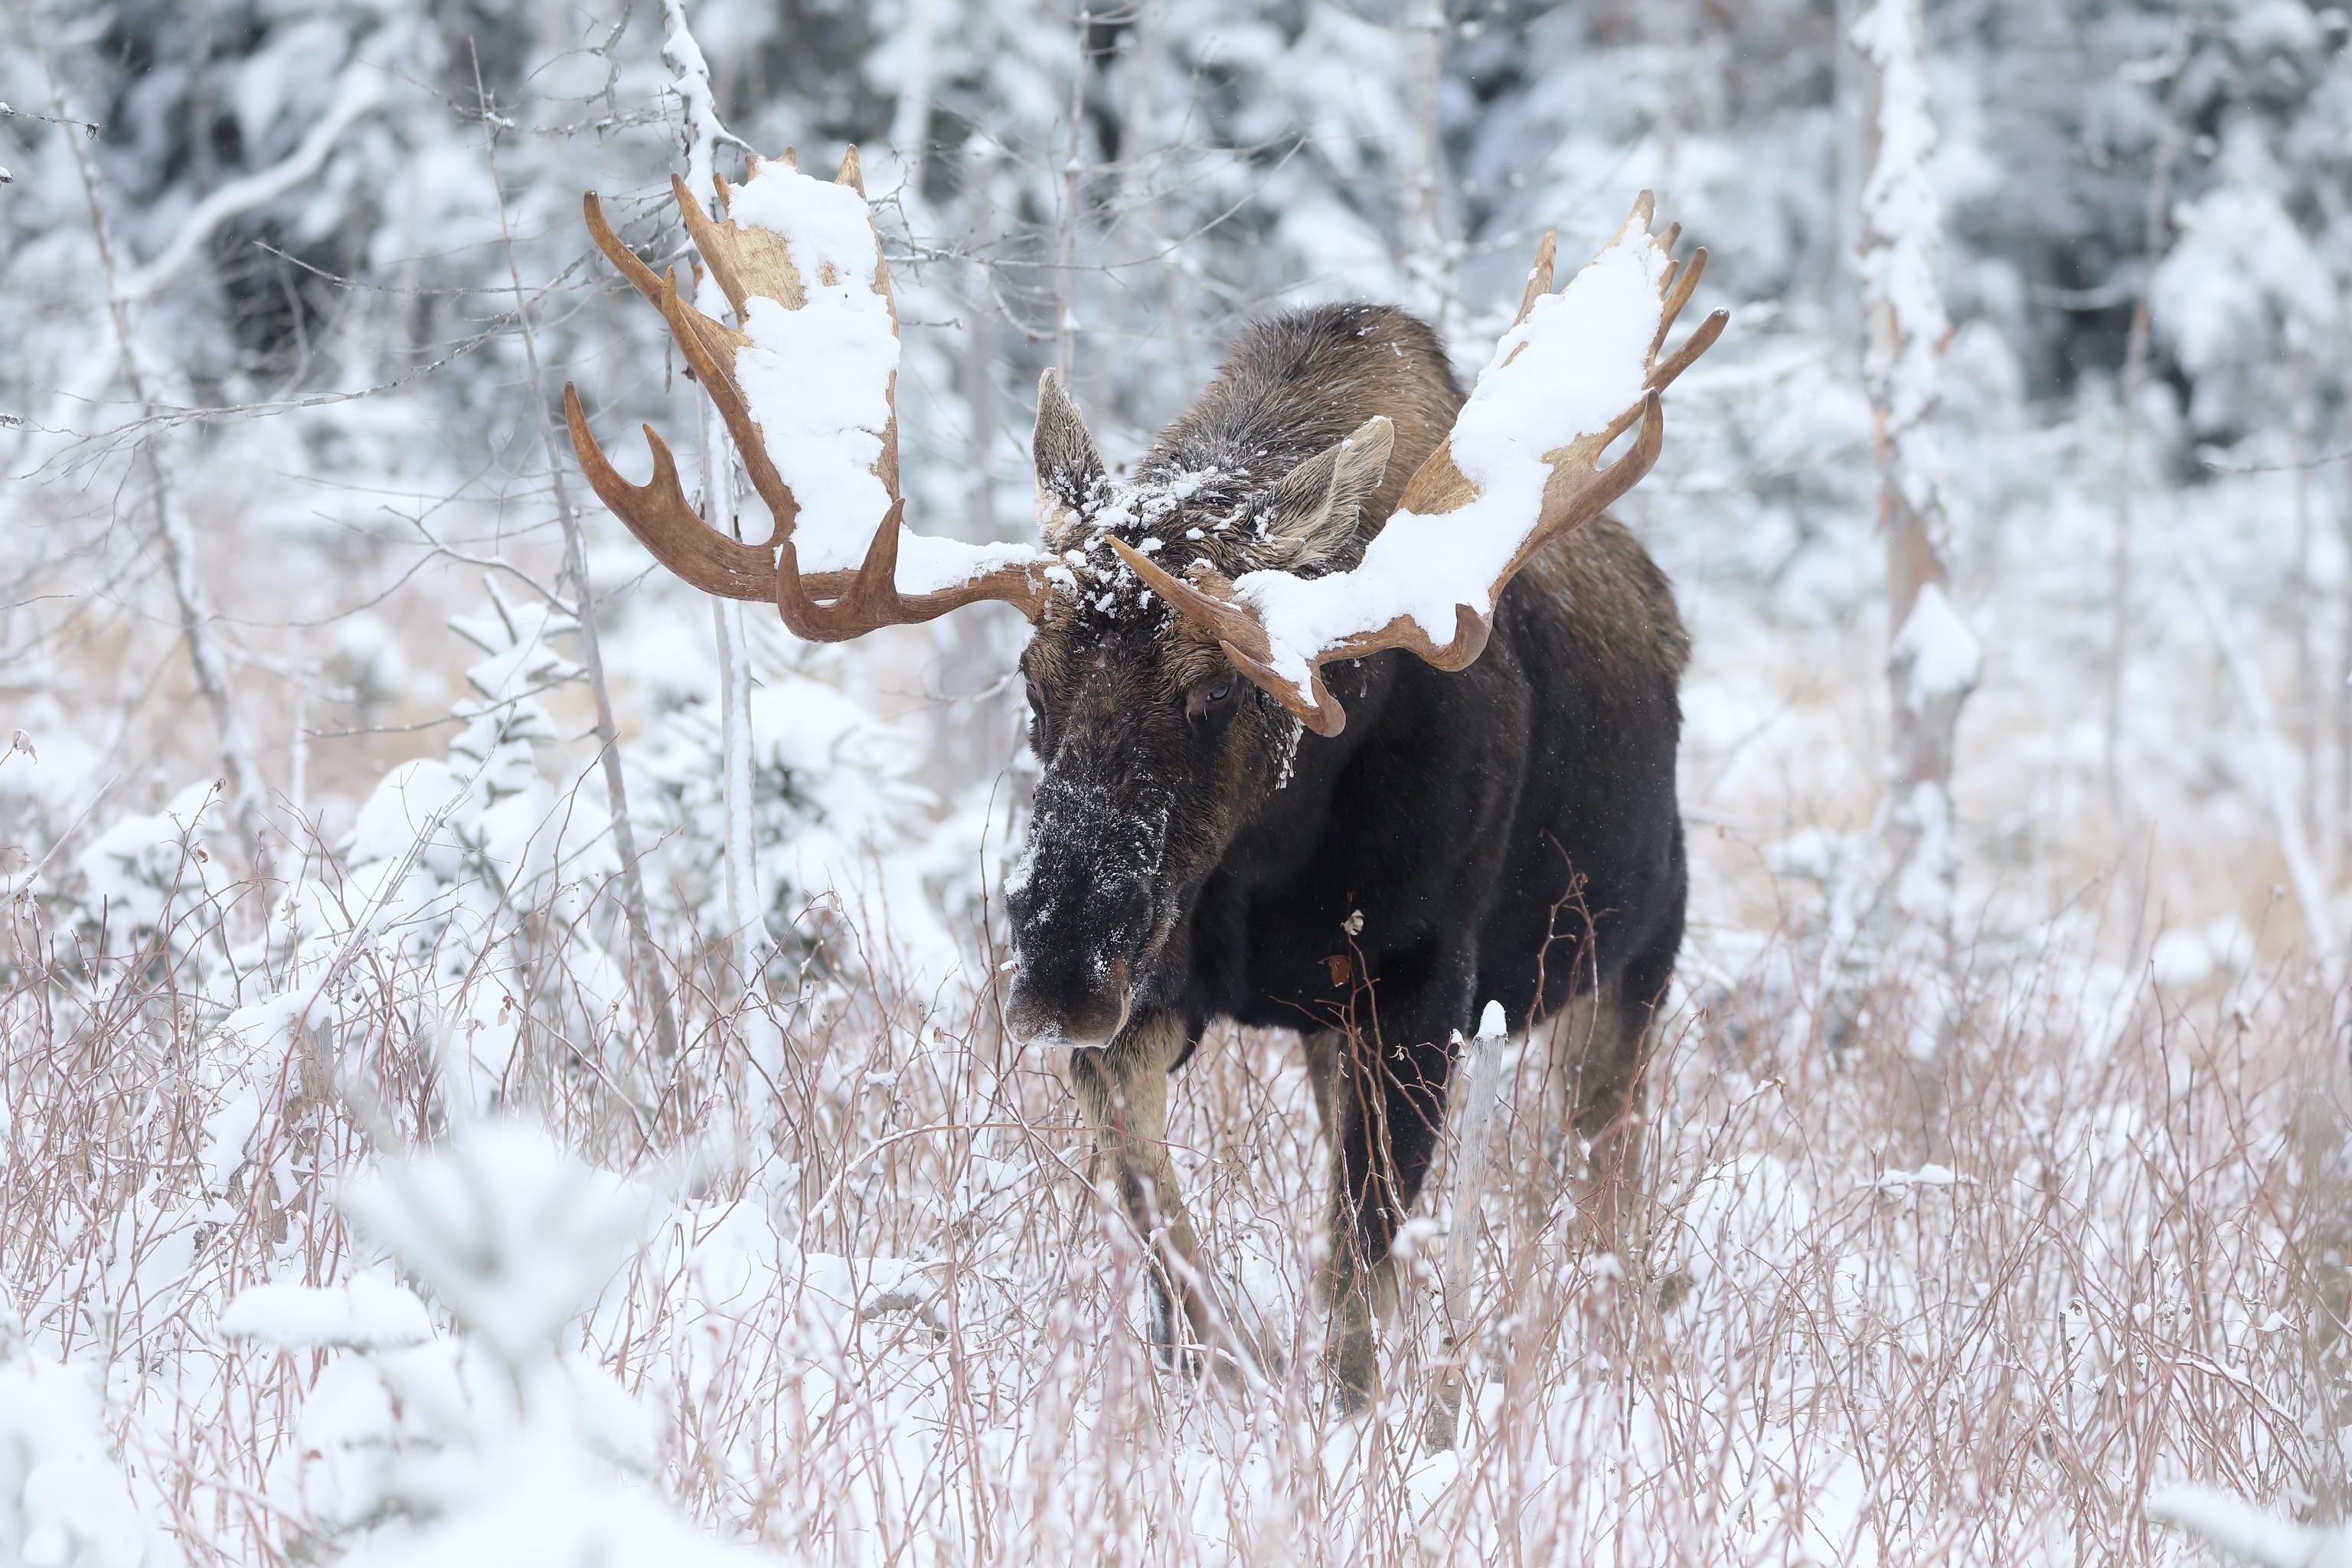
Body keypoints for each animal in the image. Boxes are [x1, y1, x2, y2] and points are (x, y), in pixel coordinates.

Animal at [564, 146, 1724, 1403]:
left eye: (1219, 693)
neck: (1278, 862)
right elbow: (1153, 1204)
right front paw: (1224, 1361)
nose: (1055, 968)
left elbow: (1359, 1277)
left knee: (1602, 1170)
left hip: (1633, 954)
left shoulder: (1421, 983)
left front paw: (1343, 1412)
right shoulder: (1163, 986)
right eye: (1030, 684)